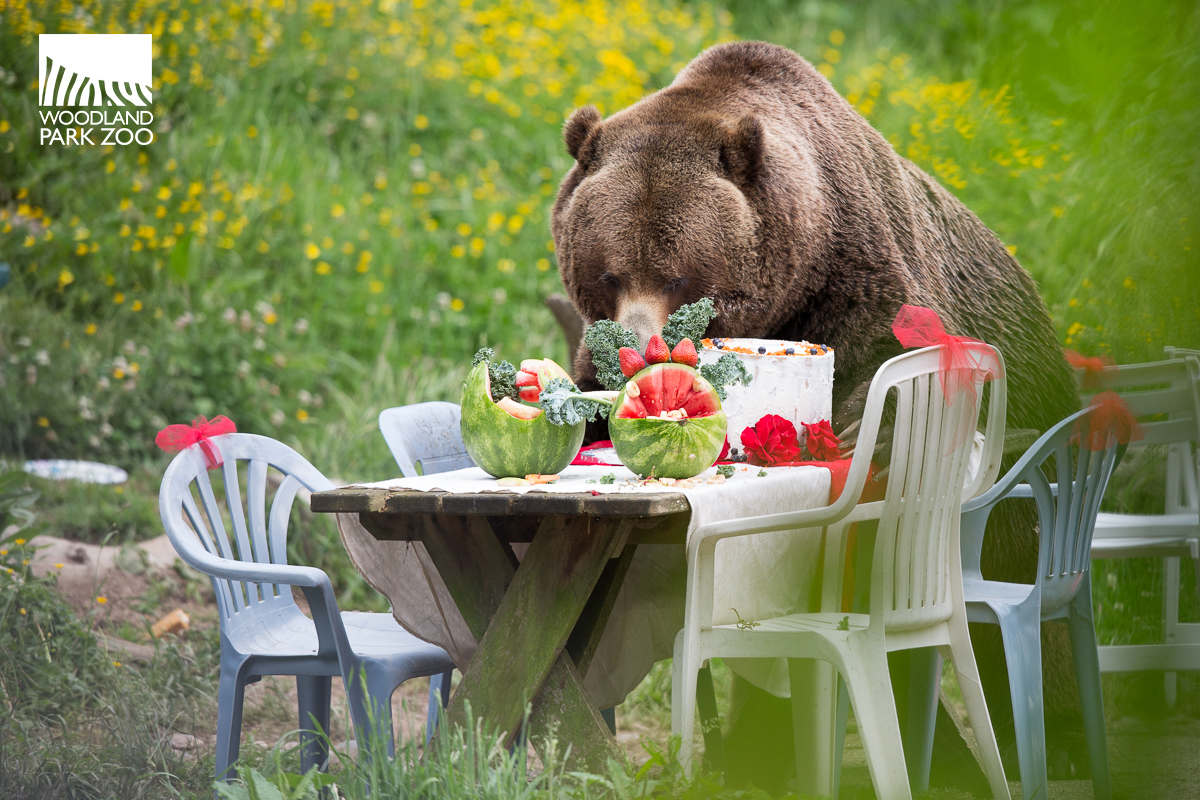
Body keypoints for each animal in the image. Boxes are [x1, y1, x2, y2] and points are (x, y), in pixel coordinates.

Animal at [552, 40, 1085, 788]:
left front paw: (868, 431)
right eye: (606, 273)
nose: (636, 351)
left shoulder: (858, 275)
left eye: (680, 275)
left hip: (1026, 417)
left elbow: (898, 351)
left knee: (1023, 581)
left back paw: (1048, 735)